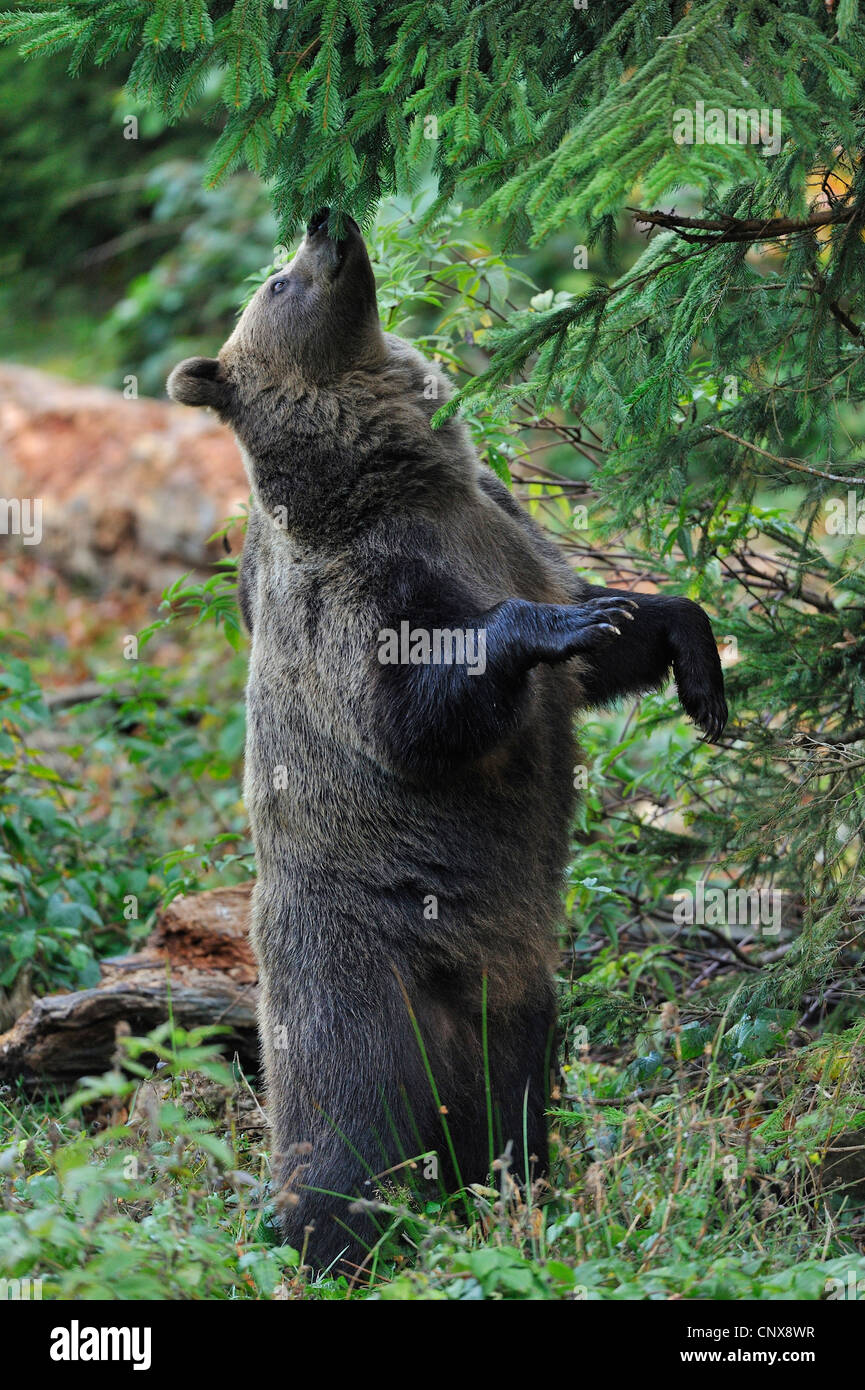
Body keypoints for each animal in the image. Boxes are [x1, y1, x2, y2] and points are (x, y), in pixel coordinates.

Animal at [167, 208, 727, 1274]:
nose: (326, 217)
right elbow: (416, 710)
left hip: (516, 1005)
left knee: (515, 1109)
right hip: (358, 982)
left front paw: (689, 652)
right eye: (277, 285)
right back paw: (328, 1238)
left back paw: (516, 1191)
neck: (397, 481)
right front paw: (542, 631)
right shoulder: (358, 595)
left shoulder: (508, 526)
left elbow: (608, 631)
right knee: (345, 1132)